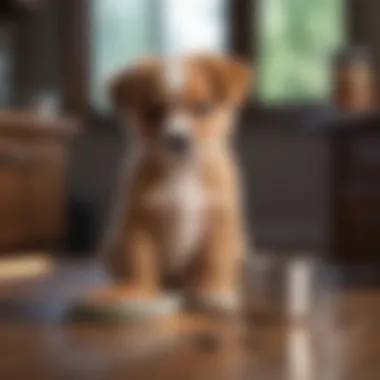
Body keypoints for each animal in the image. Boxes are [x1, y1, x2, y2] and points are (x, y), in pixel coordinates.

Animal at [99, 54, 251, 314]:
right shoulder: (137, 223)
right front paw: (138, 292)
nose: (178, 140)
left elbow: (215, 260)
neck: (182, 171)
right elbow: (140, 262)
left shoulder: (220, 221)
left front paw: (213, 293)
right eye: (154, 112)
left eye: (202, 107)